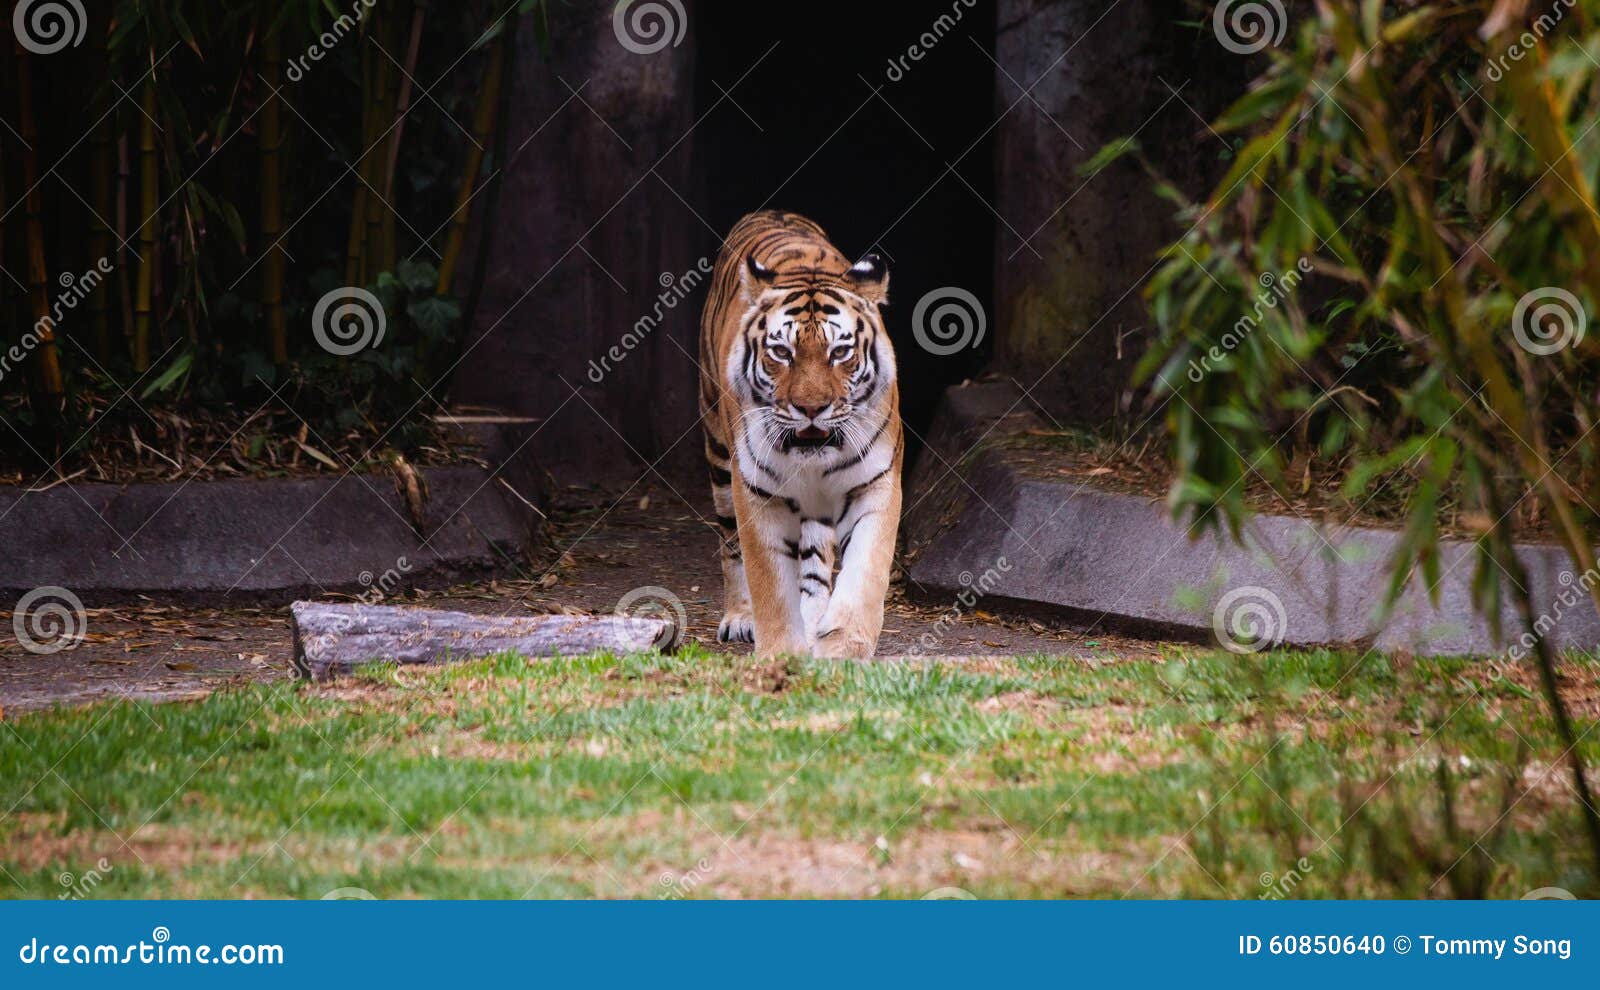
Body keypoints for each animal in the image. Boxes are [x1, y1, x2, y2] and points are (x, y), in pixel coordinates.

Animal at [698, 210, 903, 659]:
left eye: (840, 352)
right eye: (782, 352)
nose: (811, 408)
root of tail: (769, 212)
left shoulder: (875, 484)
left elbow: (865, 572)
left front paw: (843, 648)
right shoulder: (755, 491)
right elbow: (770, 582)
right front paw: (780, 654)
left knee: (814, 564)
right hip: (718, 454)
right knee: (730, 545)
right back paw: (740, 617)